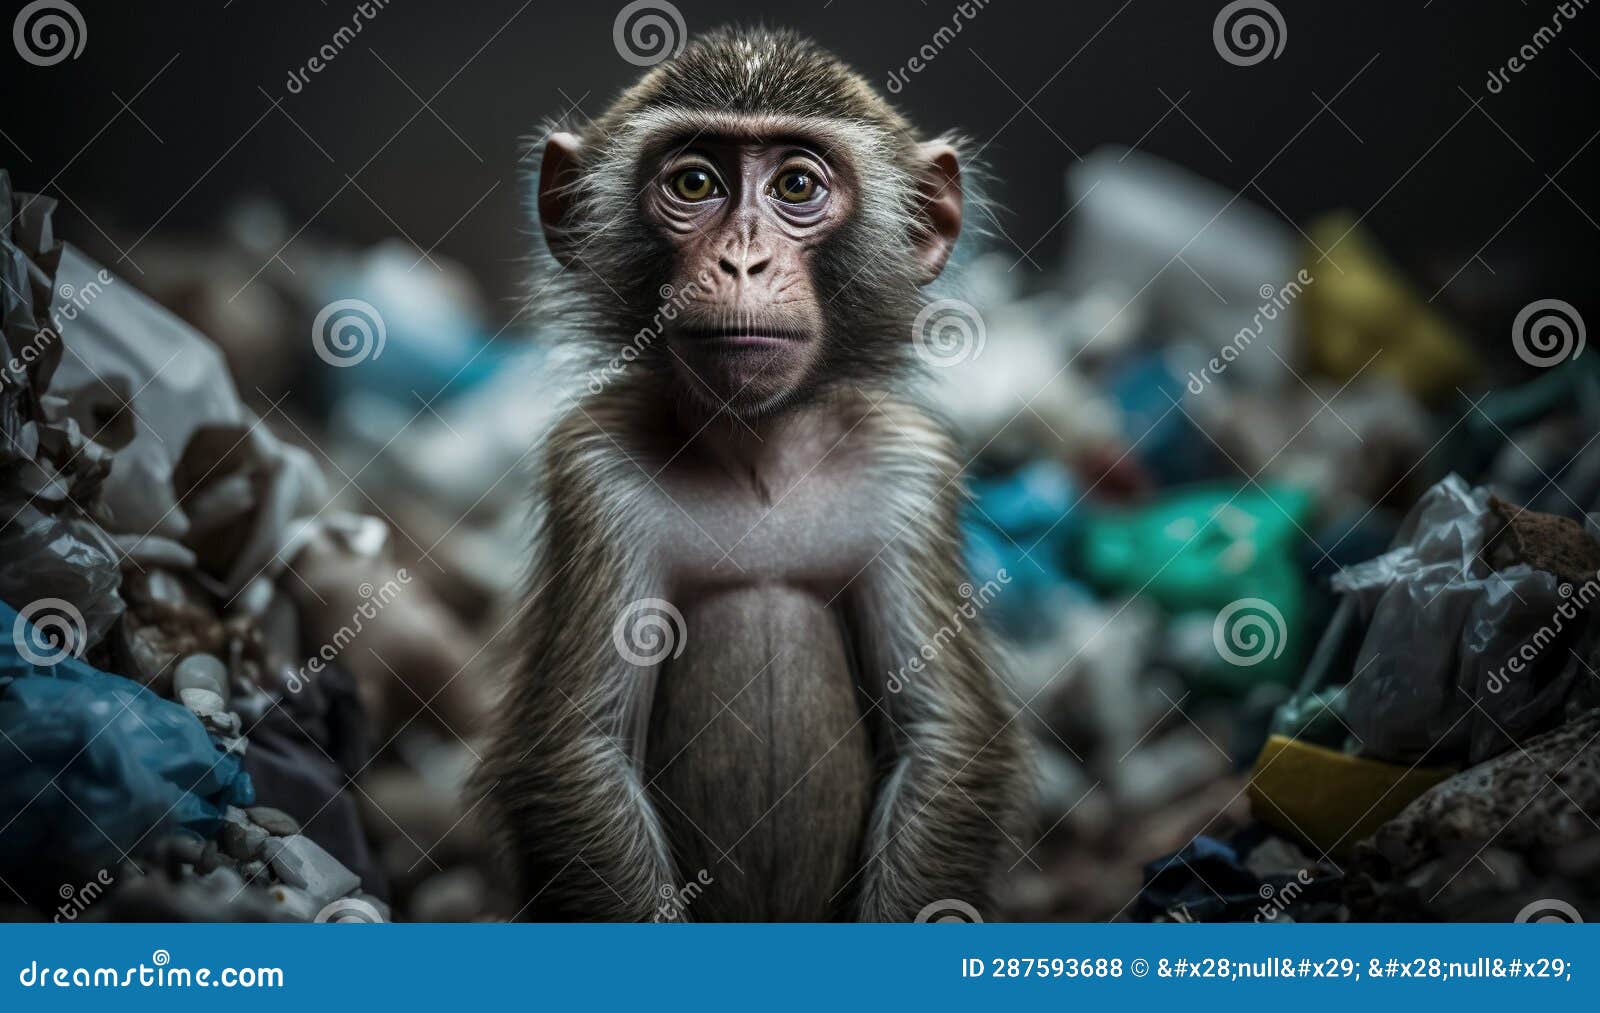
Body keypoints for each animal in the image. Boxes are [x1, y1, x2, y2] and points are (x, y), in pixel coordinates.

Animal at [473, 26, 1029, 922]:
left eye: (797, 184)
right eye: (694, 183)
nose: (743, 261)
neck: (758, 454)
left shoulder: (910, 468)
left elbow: (944, 735)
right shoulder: (595, 468)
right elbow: (579, 750)